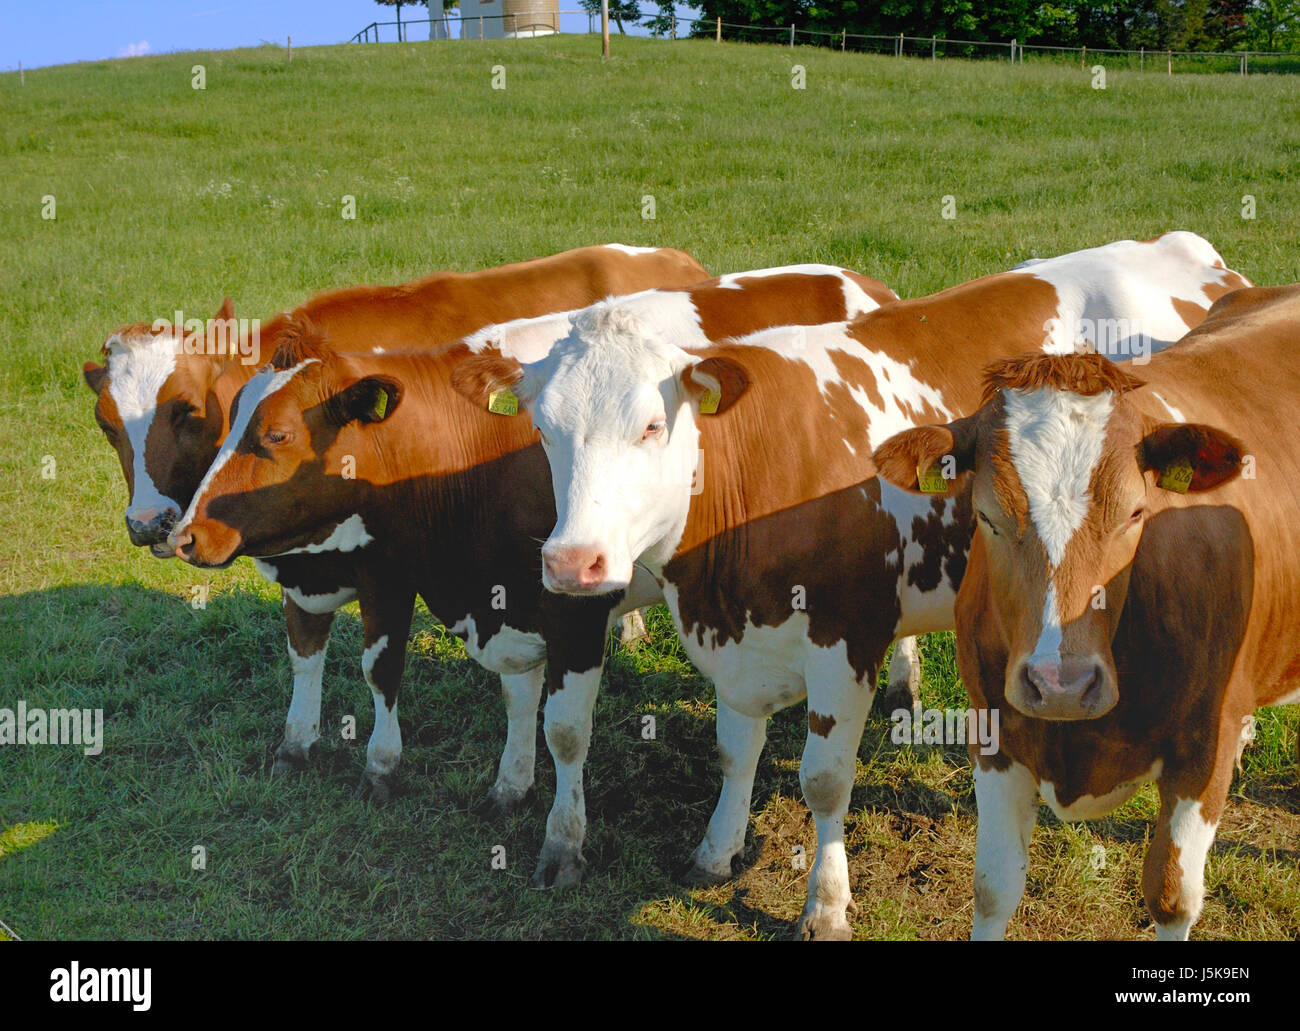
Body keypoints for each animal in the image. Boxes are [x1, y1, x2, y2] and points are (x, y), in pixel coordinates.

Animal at [82, 244, 710, 801]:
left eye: (188, 410)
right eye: (105, 424)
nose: (150, 523)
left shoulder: (388, 572)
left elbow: (380, 668)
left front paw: (381, 766)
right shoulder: (301, 570)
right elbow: (303, 652)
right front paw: (295, 744)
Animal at [161, 265, 900, 884]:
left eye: (277, 435)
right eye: (225, 421)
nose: (183, 533)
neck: (473, 452)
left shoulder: (567, 606)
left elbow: (562, 728)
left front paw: (561, 843)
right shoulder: (477, 592)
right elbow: (506, 696)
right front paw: (506, 784)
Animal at [451, 231, 1250, 937]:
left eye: (651, 425)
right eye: (545, 429)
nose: (571, 562)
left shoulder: (846, 638)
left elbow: (825, 781)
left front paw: (826, 905)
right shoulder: (737, 637)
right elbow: (734, 750)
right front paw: (715, 848)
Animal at [871, 283, 1300, 940]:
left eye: (1136, 513)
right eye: (987, 515)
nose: (1061, 686)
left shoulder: (1201, 754)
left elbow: (1171, 896)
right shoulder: (994, 734)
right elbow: (993, 887)